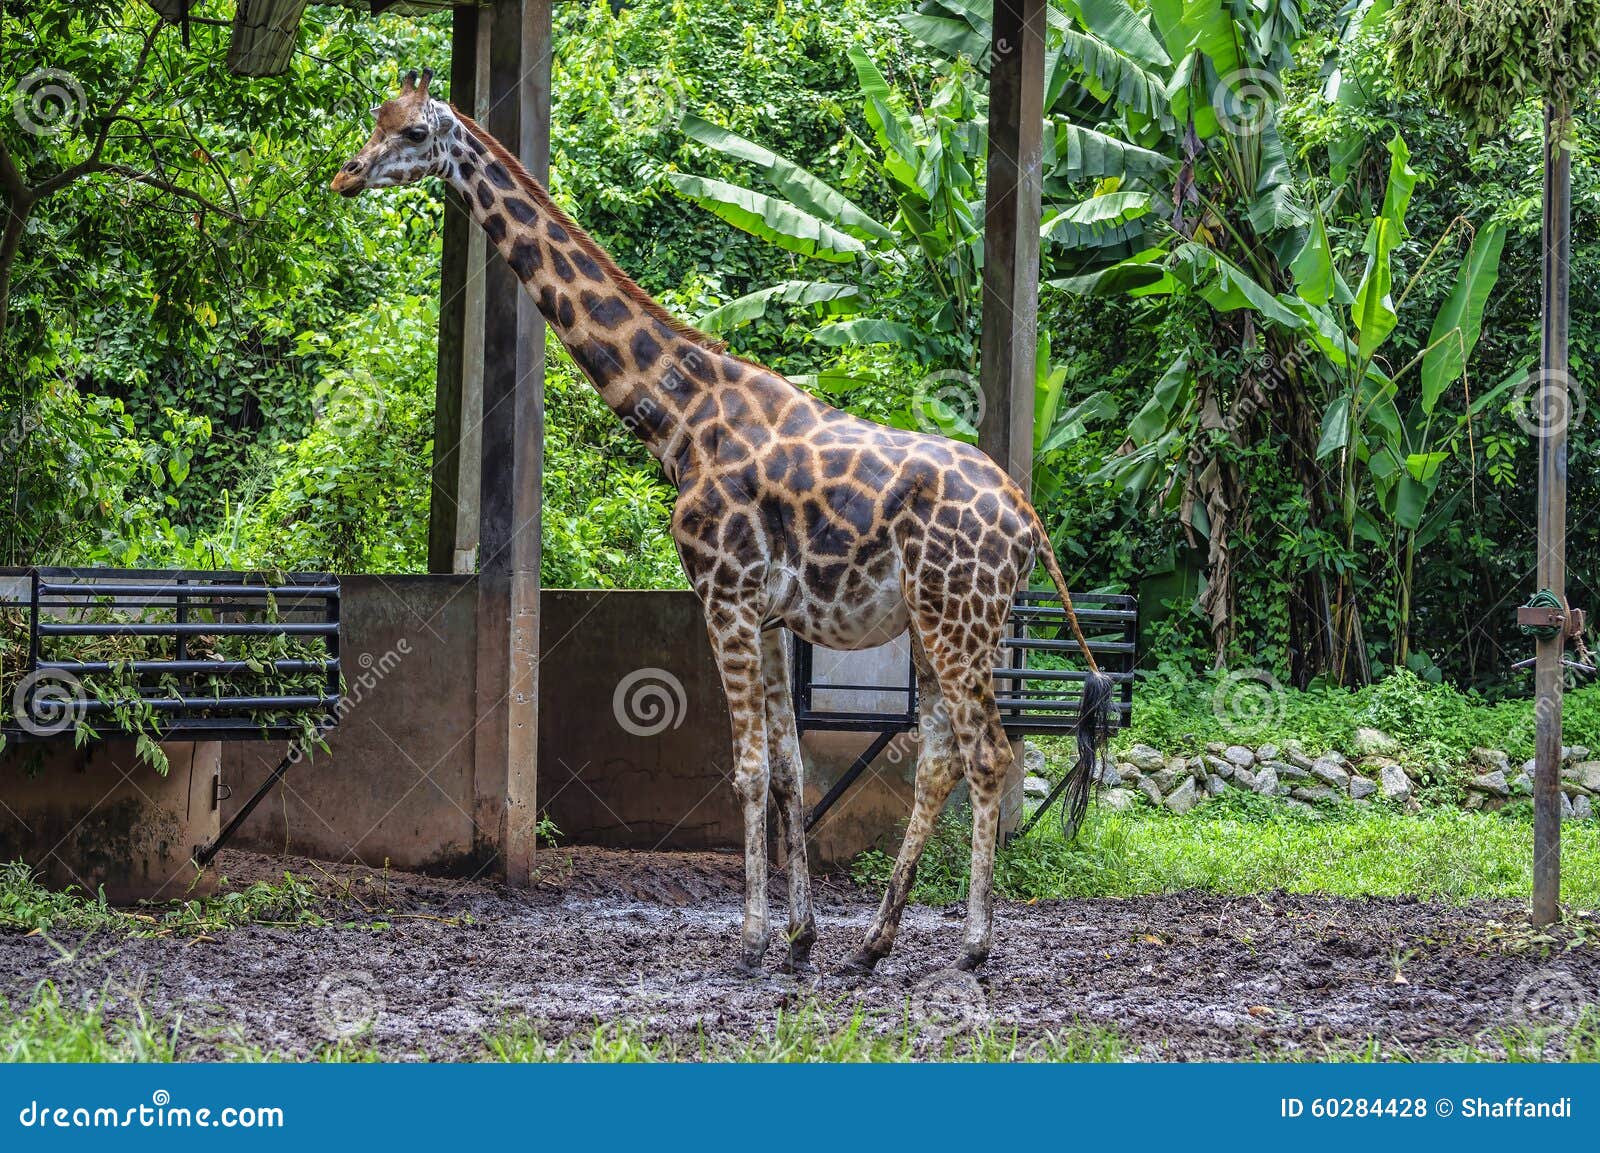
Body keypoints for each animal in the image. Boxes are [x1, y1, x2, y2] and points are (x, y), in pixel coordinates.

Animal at [333, 70, 1113, 975]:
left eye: (416, 133)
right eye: (378, 119)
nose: (346, 175)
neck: (679, 417)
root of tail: (1029, 521)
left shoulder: (724, 593)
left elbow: (744, 768)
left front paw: (748, 939)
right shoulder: (771, 615)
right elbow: (788, 771)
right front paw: (801, 936)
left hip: (960, 618)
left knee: (987, 753)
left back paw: (974, 946)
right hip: (941, 623)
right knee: (942, 758)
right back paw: (873, 942)